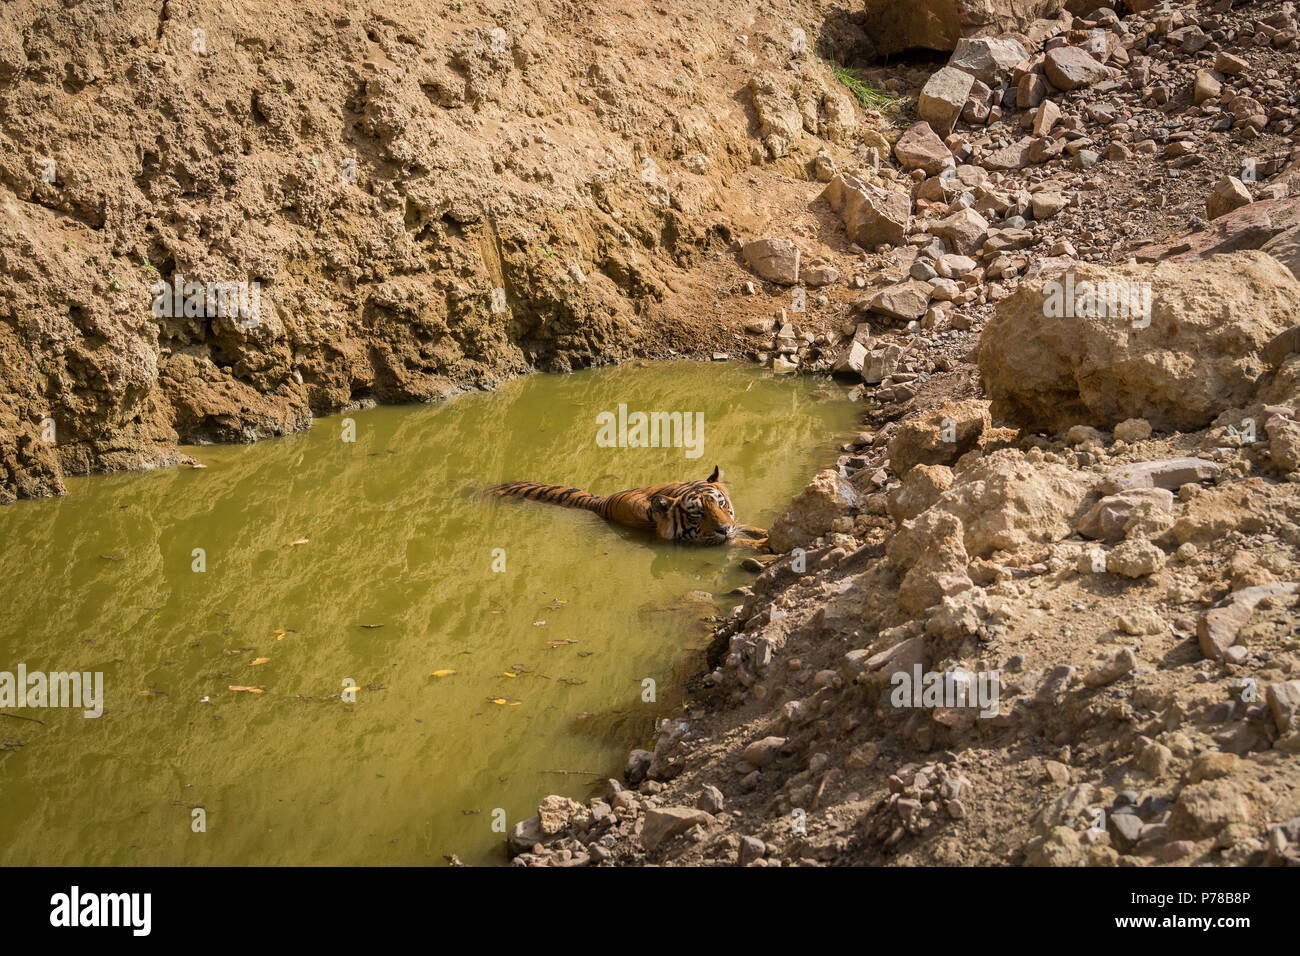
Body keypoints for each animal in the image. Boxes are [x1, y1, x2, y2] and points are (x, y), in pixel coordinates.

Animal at [490, 466, 768, 548]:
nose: (724, 529)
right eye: (697, 514)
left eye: (721, 504)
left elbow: (746, 528)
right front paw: (763, 545)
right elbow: (737, 543)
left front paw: (764, 532)